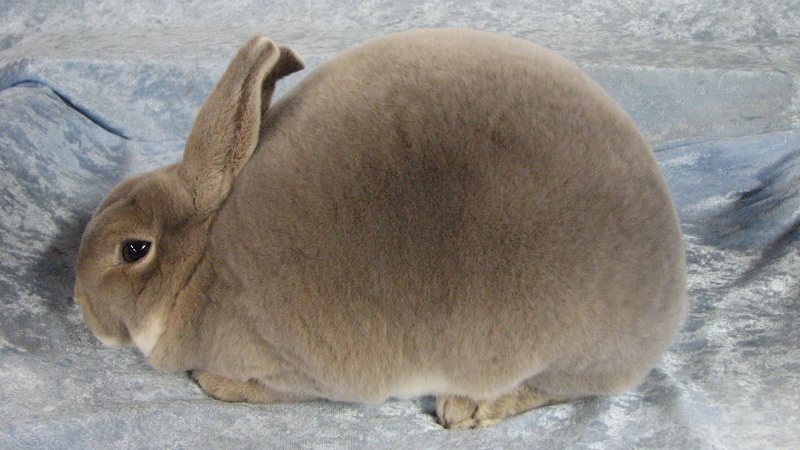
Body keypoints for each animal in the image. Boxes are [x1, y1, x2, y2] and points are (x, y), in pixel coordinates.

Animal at [73, 28, 687, 429]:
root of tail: (672, 290)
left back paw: (464, 409)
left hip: (551, 341)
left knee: (559, 388)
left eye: (134, 249)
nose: (81, 307)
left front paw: (210, 382)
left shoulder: (284, 367)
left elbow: (247, 387)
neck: (201, 263)